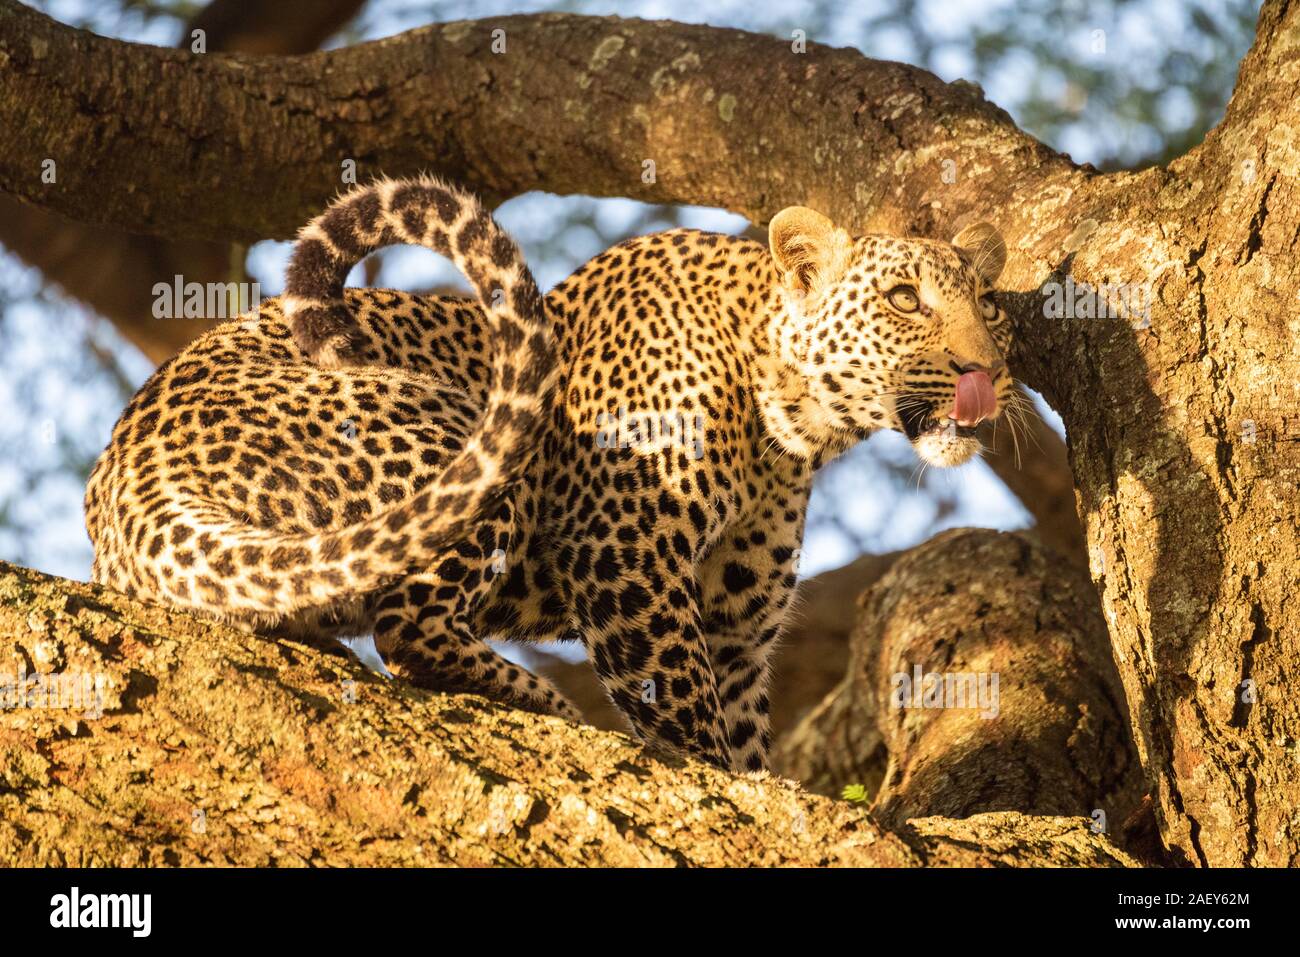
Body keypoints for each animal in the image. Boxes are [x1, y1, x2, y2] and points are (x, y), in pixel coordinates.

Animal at [85, 175, 1013, 773]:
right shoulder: (628, 557)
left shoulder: (739, 629)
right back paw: (544, 705)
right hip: (476, 445)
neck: (792, 434)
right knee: (406, 624)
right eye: (903, 299)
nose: (989, 369)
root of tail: (133, 479)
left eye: (990, 306)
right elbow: (689, 715)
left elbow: (745, 736)